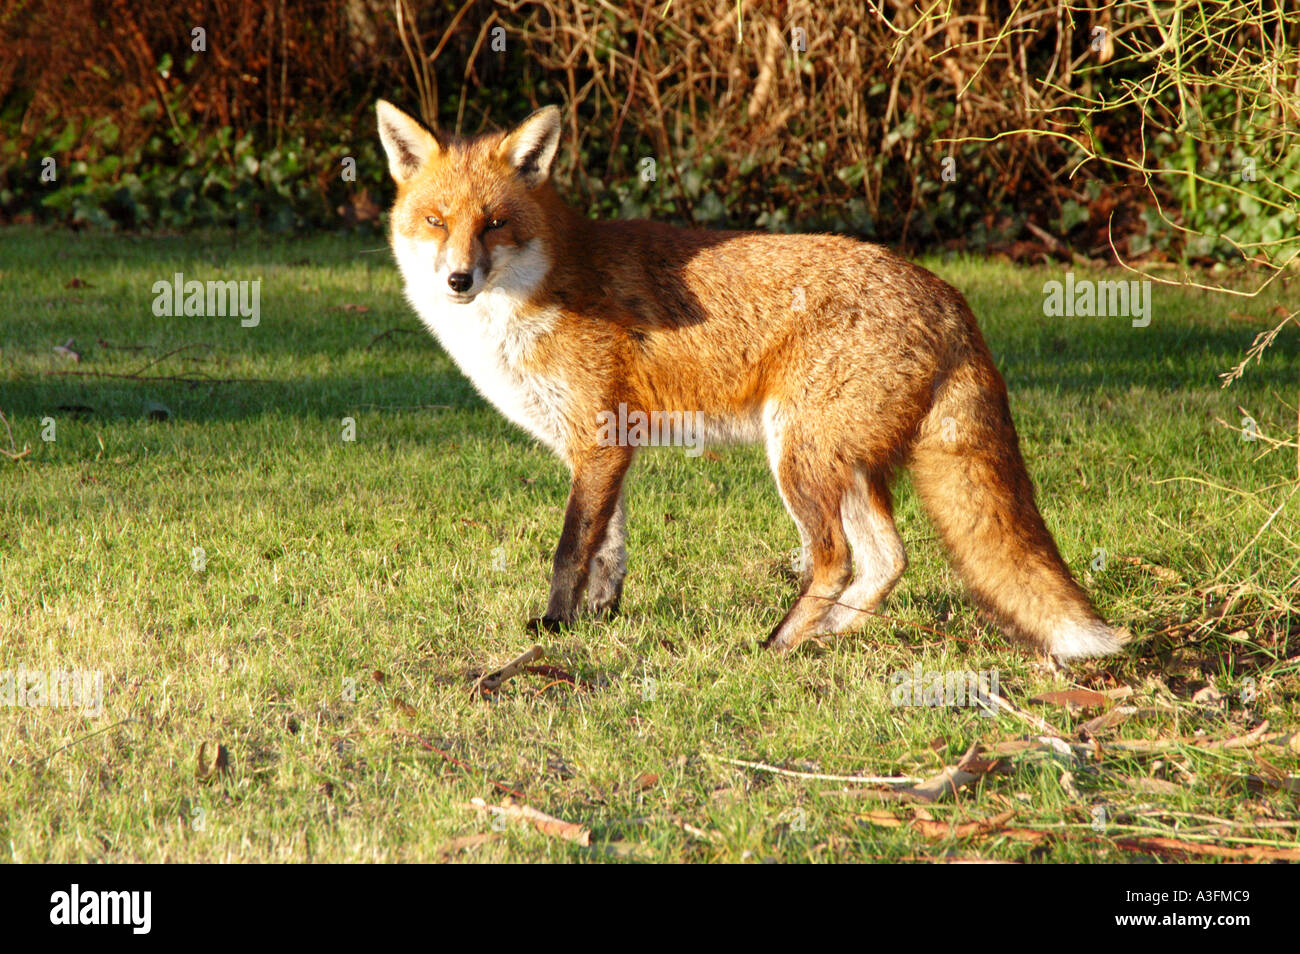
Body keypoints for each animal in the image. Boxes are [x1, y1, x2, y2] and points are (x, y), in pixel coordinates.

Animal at [375, 99, 1128, 662]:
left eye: (496, 224)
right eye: (436, 221)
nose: (458, 279)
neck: (543, 289)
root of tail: (946, 293)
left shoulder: (597, 440)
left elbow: (569, 550)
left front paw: (556, 628)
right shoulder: (609, 449)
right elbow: (607, 549)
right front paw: (601, 620)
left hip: (797, 455)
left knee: (836, 559)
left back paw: (776, 643)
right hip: (845, 464)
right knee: (888, 560)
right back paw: (820, 637)